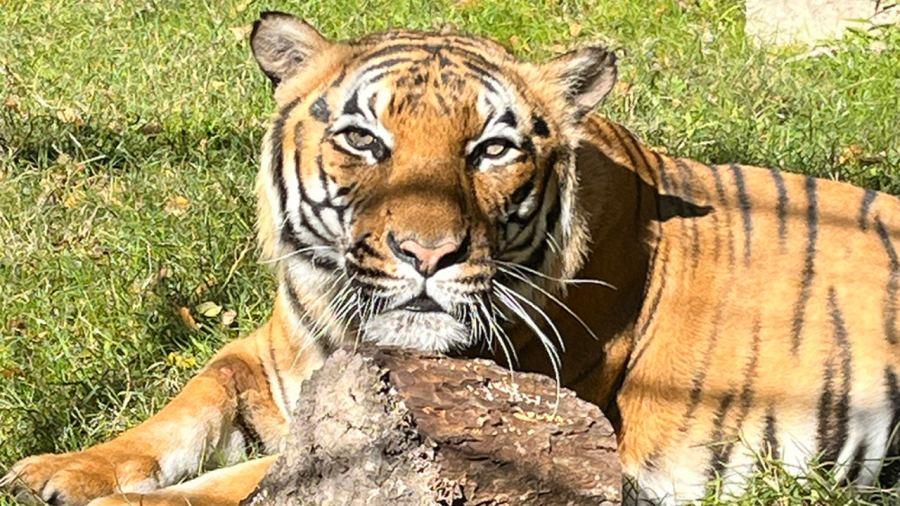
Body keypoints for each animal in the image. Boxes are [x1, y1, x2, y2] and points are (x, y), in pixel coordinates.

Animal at [4, 10, 900, 506]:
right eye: (363, 138)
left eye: (492, 149)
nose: (427, 254)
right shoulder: (266, 354)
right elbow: (182, 411)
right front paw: (58, 469)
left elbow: (240, 483)